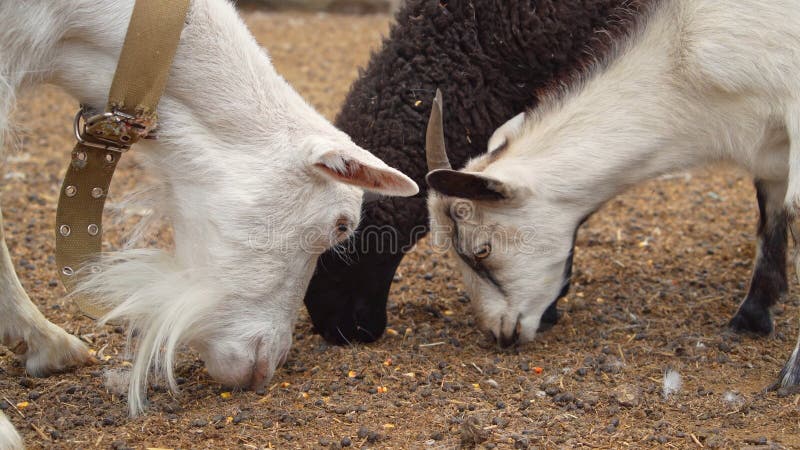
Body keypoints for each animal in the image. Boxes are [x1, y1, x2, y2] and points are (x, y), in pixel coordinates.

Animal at [426, 0, 800, 387]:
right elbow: (771, 214)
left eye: (481, 250)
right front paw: (753, 316)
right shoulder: (768, 151)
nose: (497, 333)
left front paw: (791, 373)